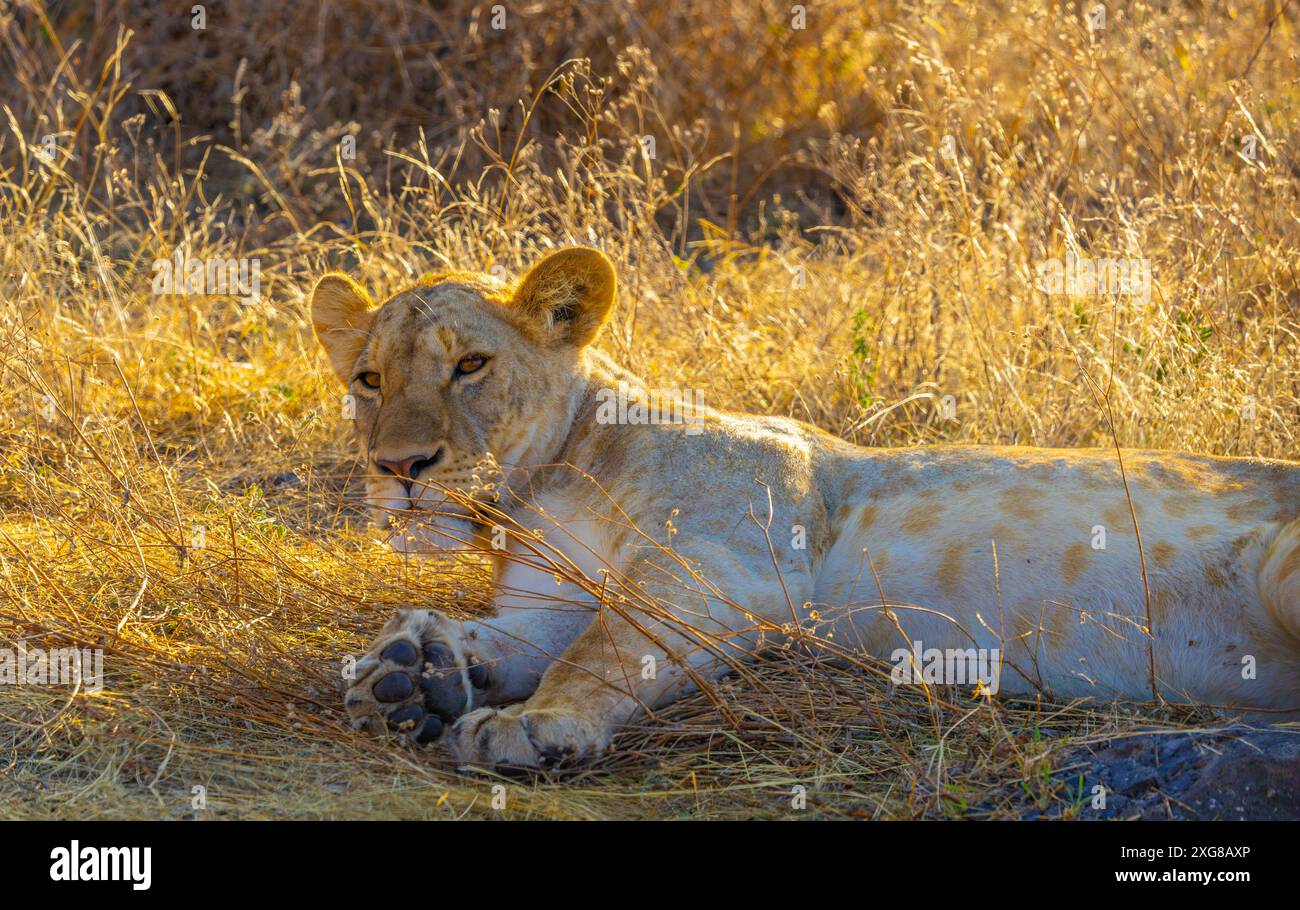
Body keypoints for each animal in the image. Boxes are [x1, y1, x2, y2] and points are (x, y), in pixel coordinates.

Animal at [311, 246, 1300, 768]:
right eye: (368, 378)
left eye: (470, 365)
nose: (400, 466)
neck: (544, 489)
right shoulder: (555, 599)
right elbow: (510, 635)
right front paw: (406, 672)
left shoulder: (722, 568)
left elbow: (603, 651)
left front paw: (530, 726)